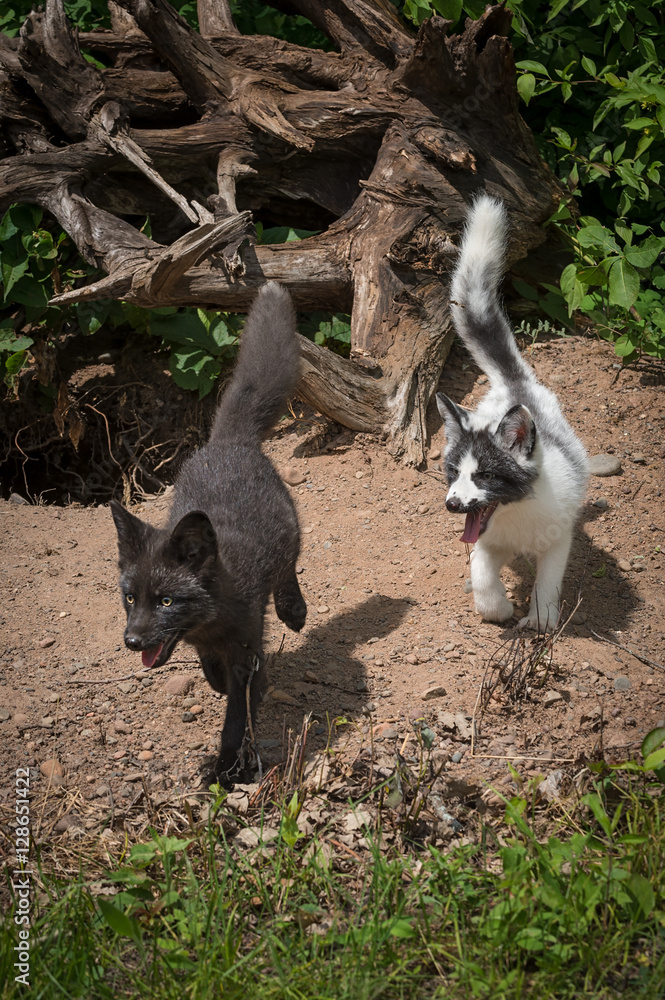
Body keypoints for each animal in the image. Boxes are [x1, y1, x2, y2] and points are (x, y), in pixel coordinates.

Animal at [110, 282, 307, 784]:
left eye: (166, 601)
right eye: (130, 598)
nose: (132, 642)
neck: (215, 621)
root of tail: (227, 442)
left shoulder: (247, 654)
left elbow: (238, 716)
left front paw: (229, 767)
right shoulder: (205, 649)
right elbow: (213, 678)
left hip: (289, 534)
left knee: (289, 566)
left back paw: (293, 609)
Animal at [436, 196, 589, 630]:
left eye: (487, 476)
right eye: (453, 473)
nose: (453, 504)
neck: (516, 514)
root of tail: (514, 382)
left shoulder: (558, 537)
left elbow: (548, 580)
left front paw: (540, 620)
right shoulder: (486, 541)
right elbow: (481, 574)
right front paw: (498, 610)